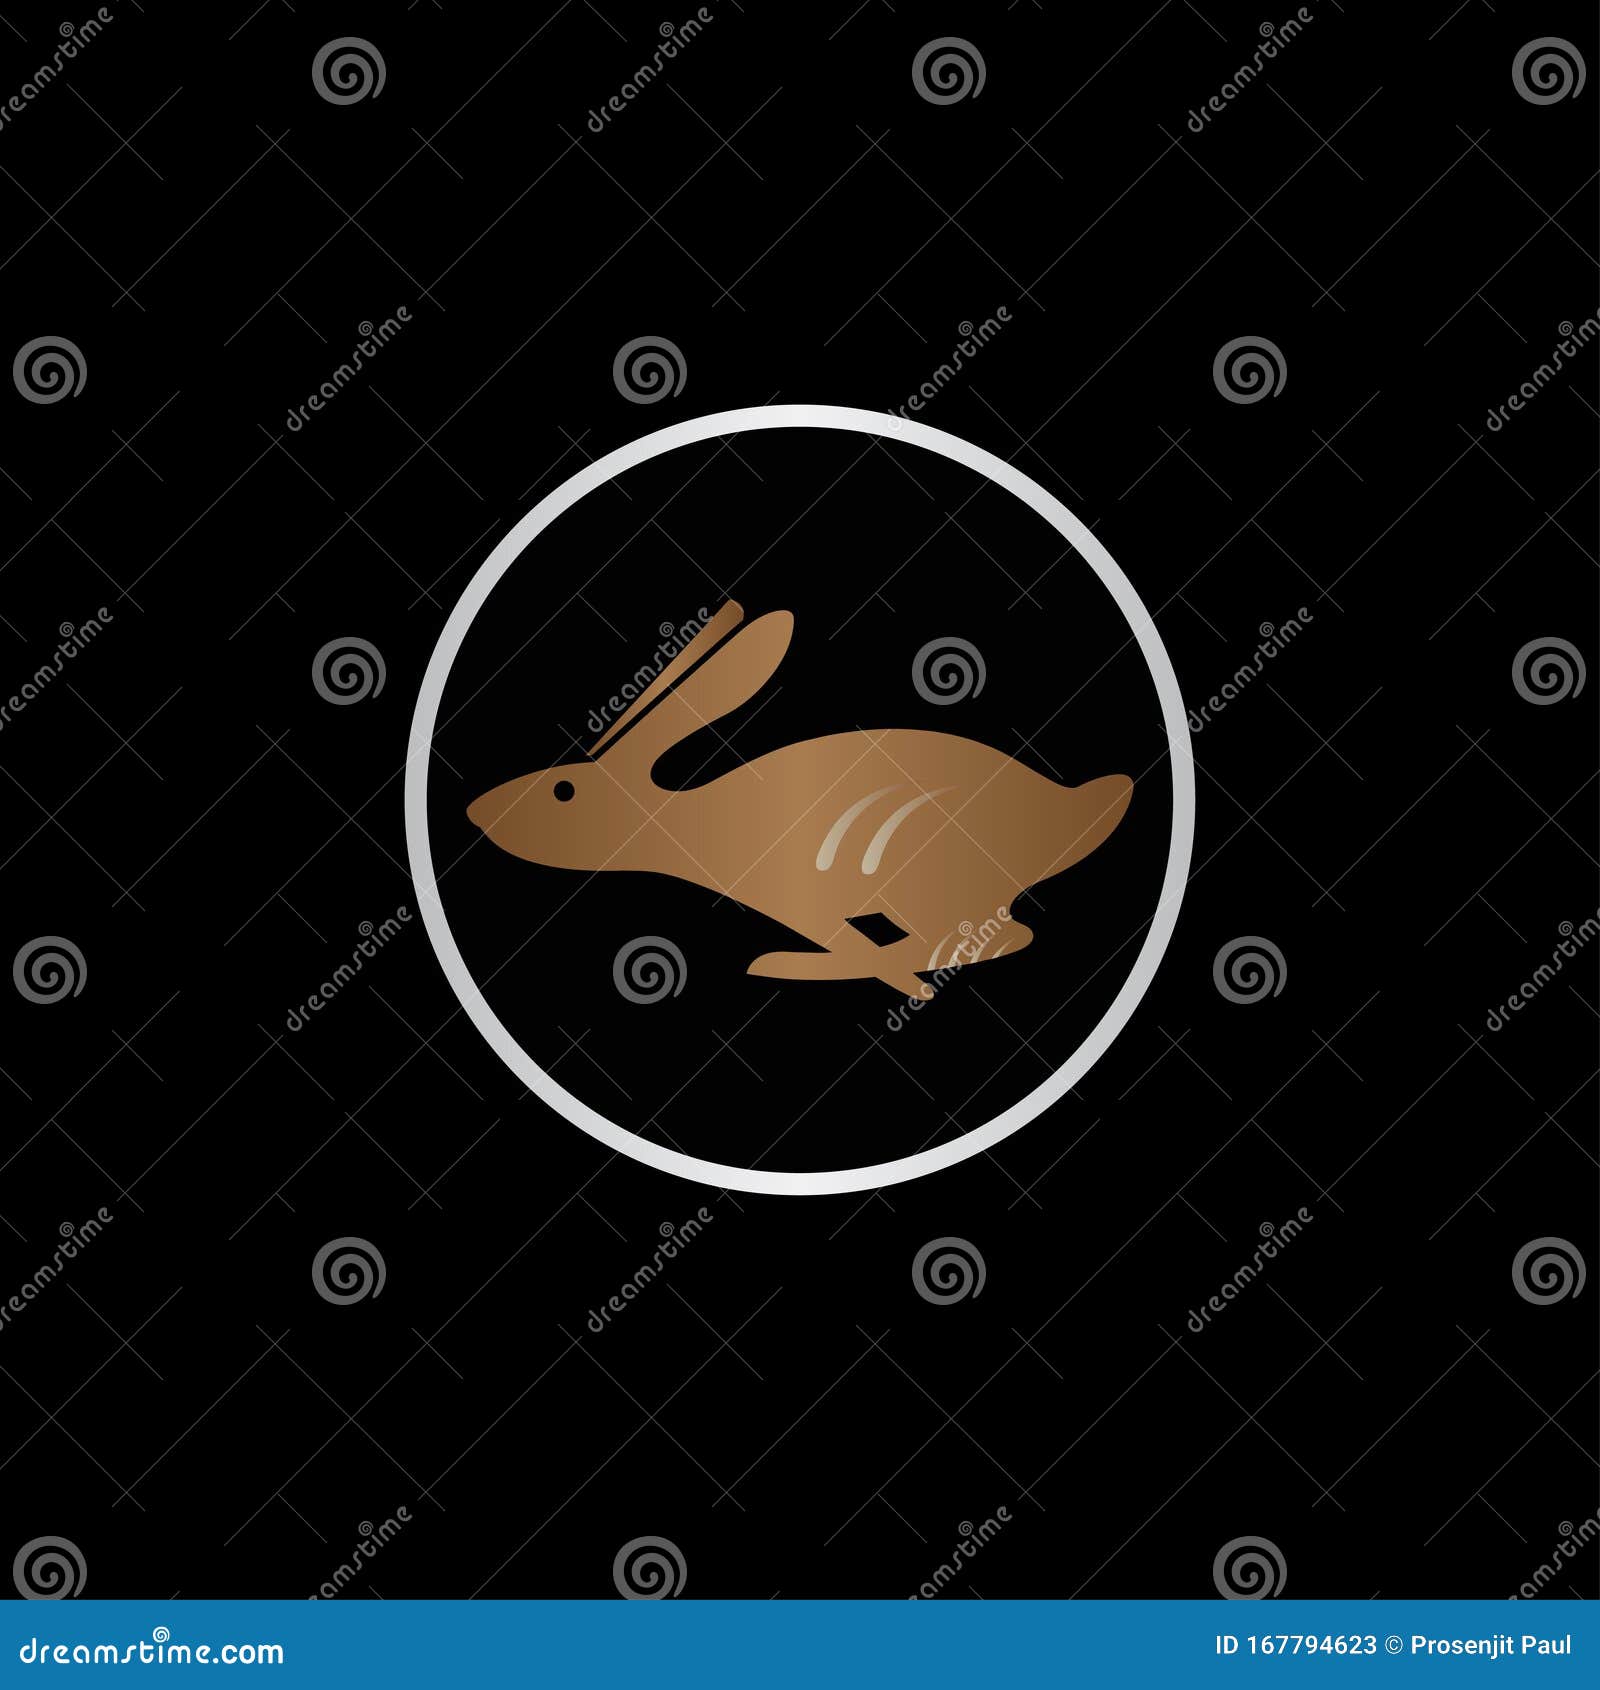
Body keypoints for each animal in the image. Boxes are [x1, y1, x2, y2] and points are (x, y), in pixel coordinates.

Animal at [466, 602, 1133, 1000]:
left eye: (563, 790)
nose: (478, 813)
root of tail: (1066, 810)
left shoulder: (806, 908)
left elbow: (854, 945)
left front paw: (903, 987)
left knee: (1001, 937)